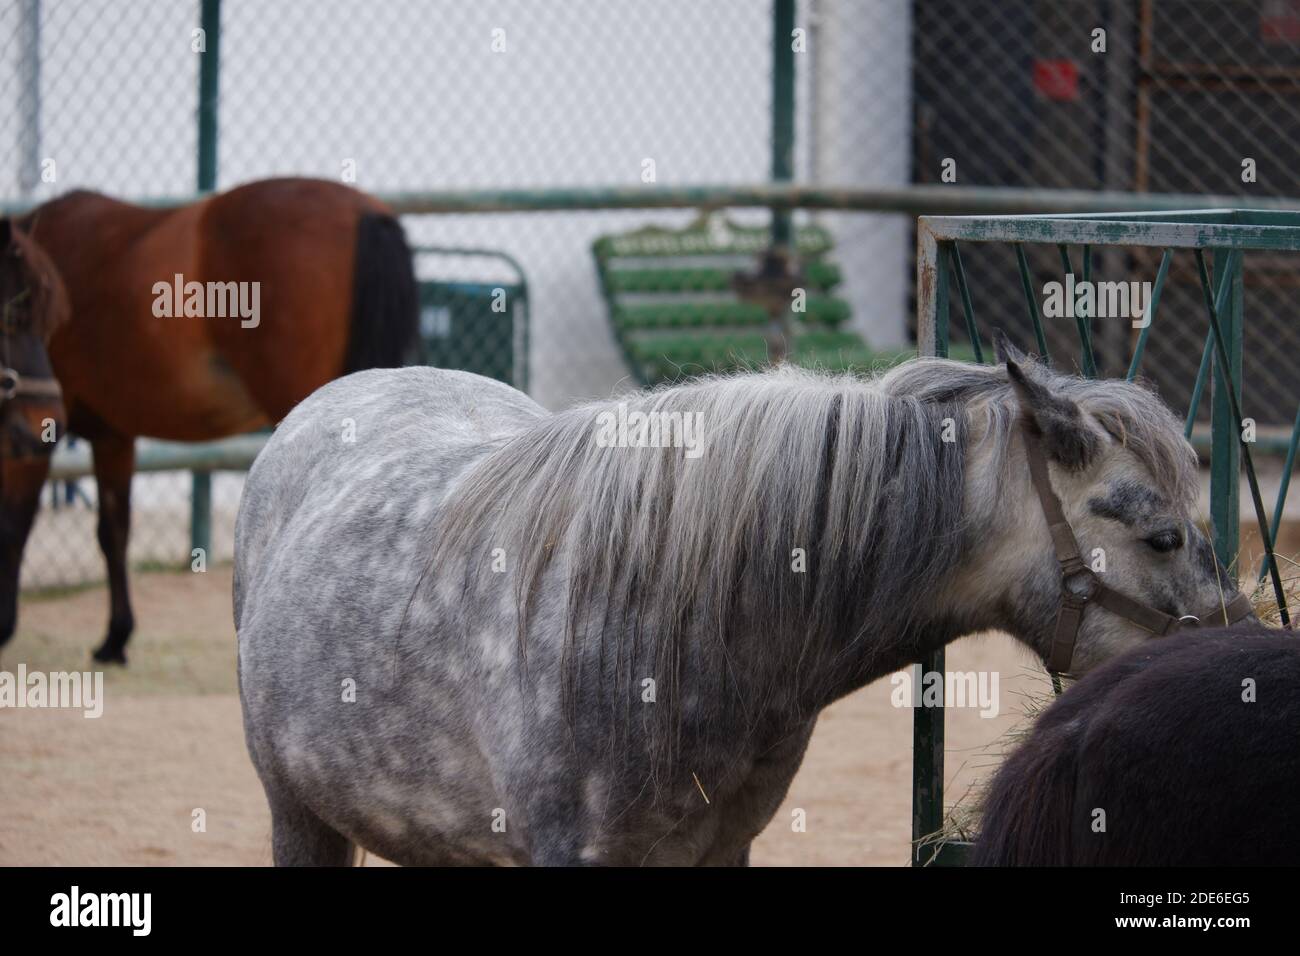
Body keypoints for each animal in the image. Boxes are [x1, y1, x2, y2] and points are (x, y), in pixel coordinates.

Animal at [2, 178, 418, 663]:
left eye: (26, 317)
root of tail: (364, 212)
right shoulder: (113, 435)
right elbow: (113, 531)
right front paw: (116, 636)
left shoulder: (33, 436)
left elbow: (16, 522)